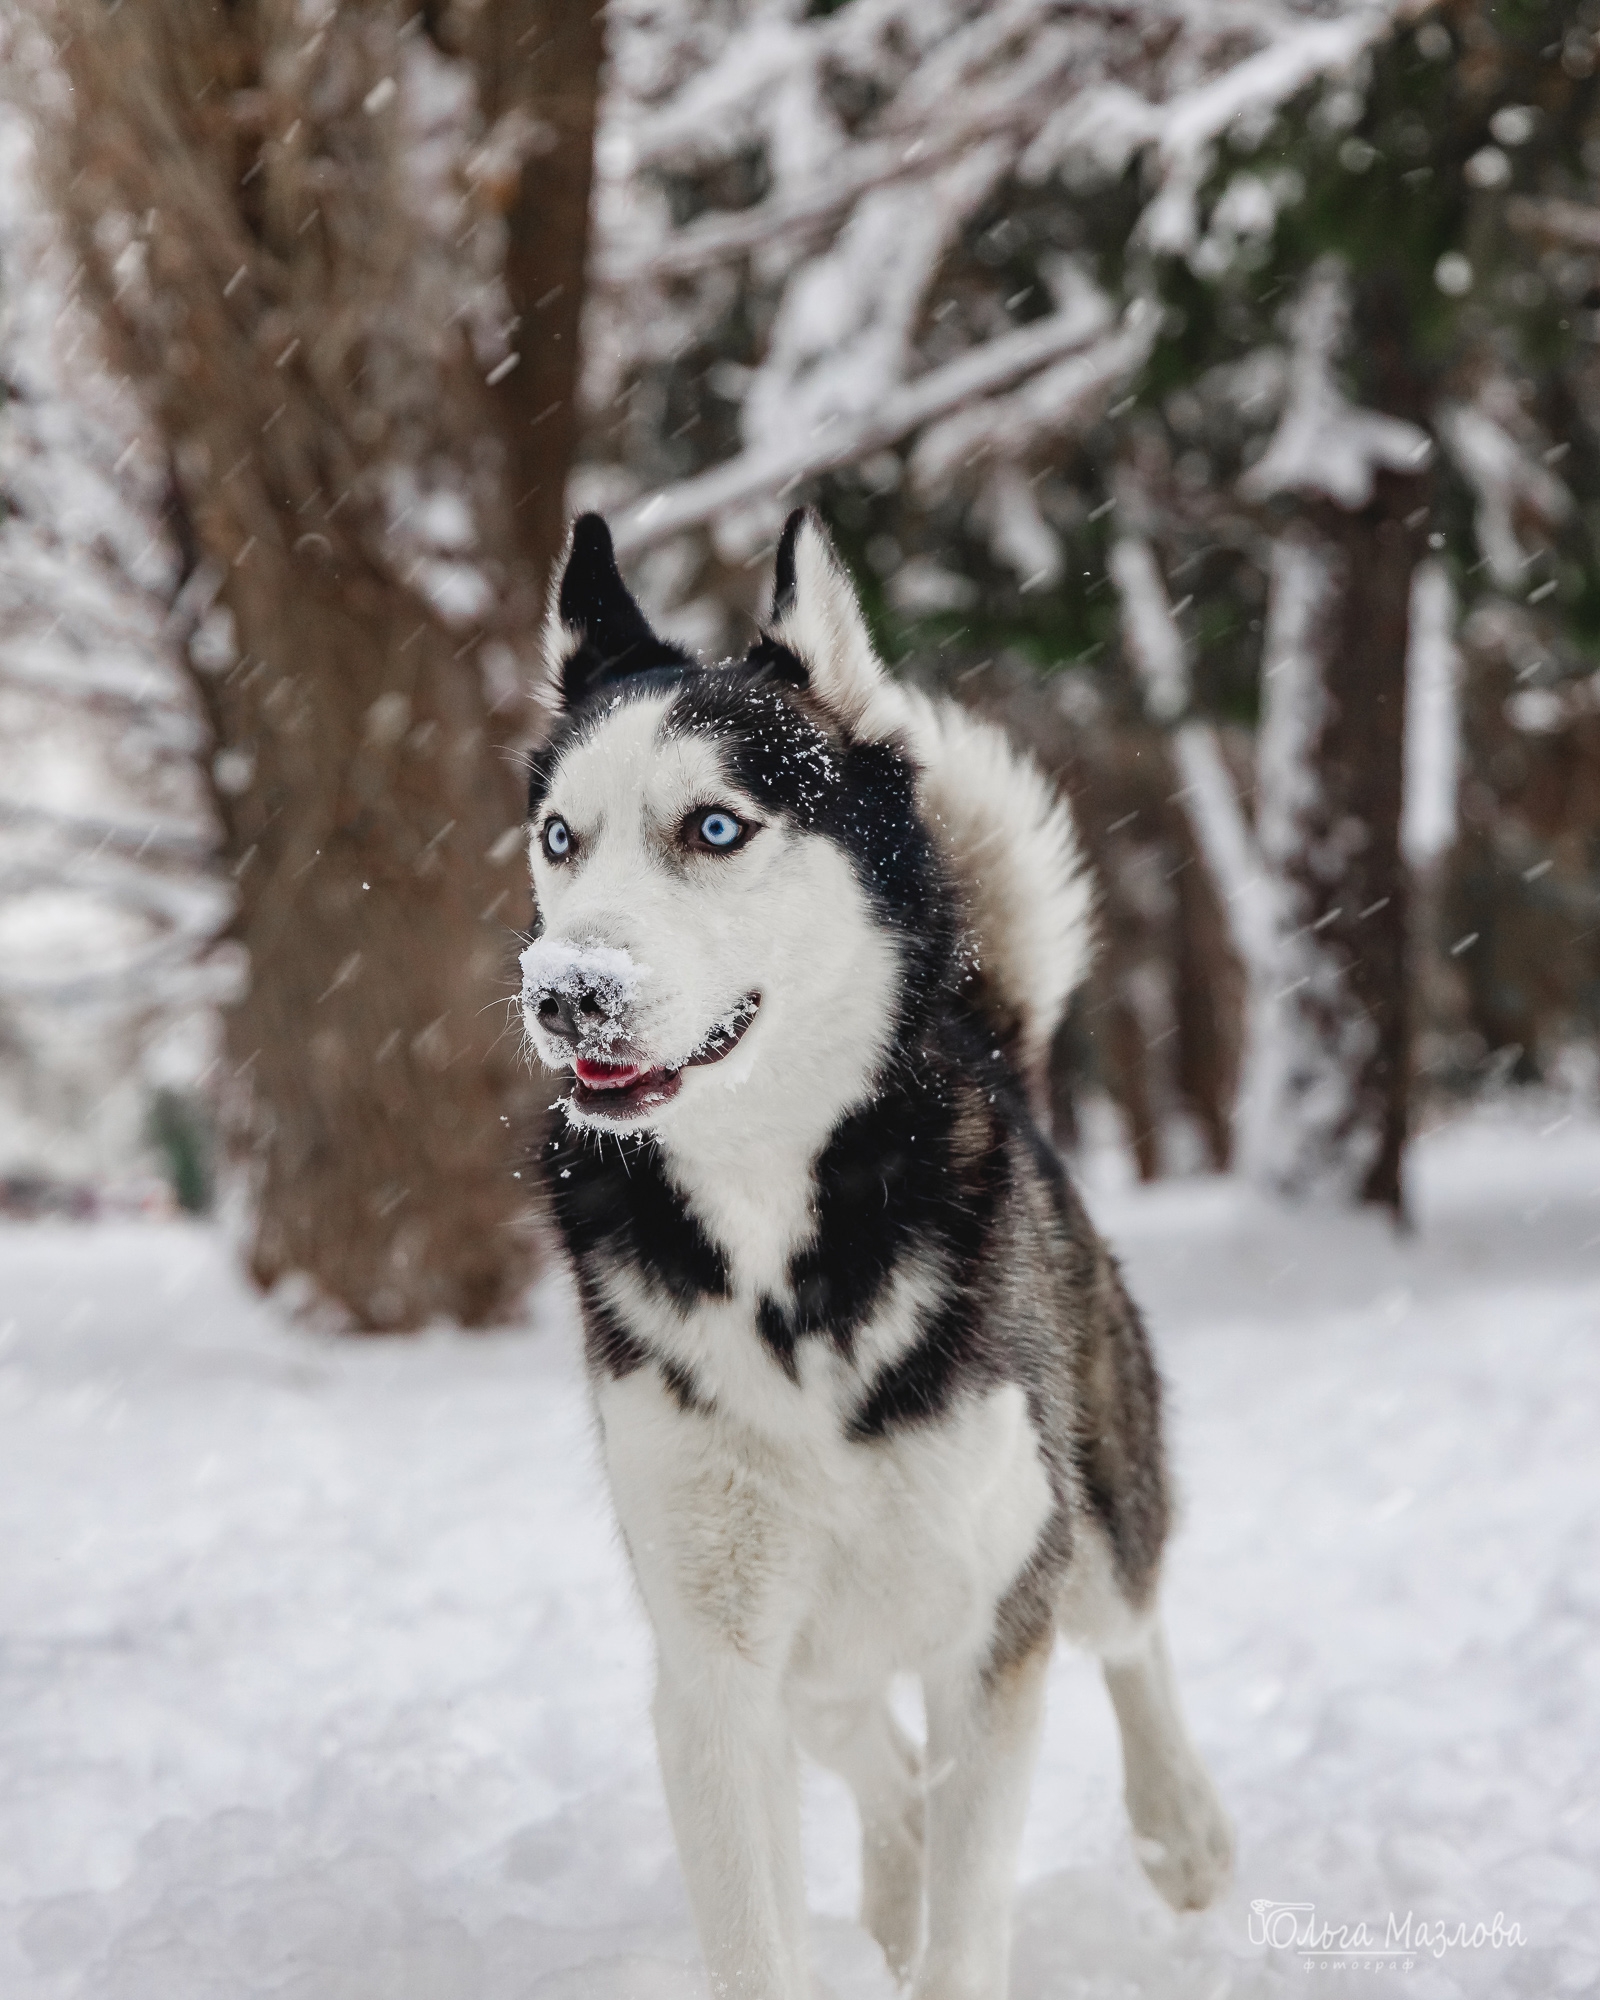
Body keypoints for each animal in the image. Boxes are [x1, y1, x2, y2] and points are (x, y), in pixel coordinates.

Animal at [520, 516, 1232, 2000]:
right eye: (561, 837)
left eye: (714, 827)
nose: (565, 993)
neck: (774, 1236)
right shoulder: (717, 1668)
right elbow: (759, 1938)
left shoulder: (991, 1632)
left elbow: (972, 1926)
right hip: (815, 1662)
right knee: (883, 1767)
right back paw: (891, 1895)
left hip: (1082, 1505)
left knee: (1130, 1628)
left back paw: (1182, 1826)